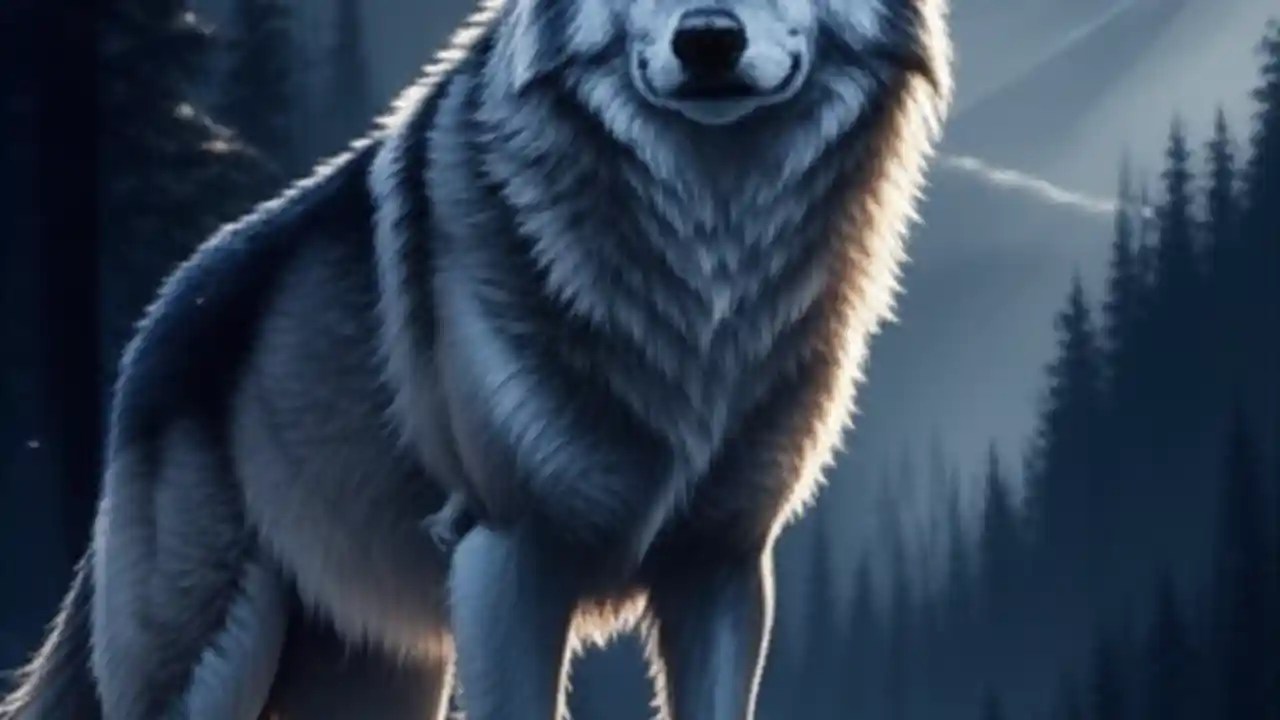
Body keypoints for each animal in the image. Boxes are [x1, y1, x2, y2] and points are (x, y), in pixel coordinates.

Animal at [1, 0, 951, 717]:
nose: (708, 40)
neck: (704, 266)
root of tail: (157, 318)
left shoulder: (723, 567)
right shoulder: (510, 555)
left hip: (382, 675)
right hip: (213, 663)